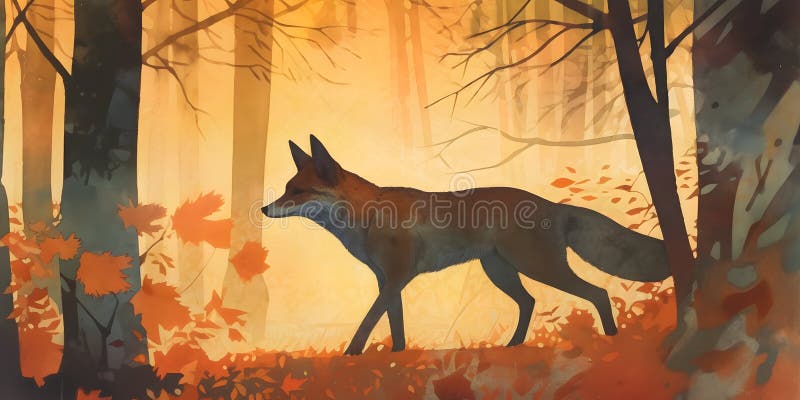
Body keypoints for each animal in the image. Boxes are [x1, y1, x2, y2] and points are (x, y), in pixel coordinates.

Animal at [262, 135, 671, 355]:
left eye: (297, 192)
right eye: (287, 189)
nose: (265, 209)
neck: (367, 216)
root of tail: (552, 205)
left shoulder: (397, 277)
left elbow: (367, 322)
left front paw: (350, 356)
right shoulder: (388, 281)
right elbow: (394, 323)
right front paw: (397, 355)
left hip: (539, 268)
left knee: (598, 292)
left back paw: (612, 341)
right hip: (502, 271)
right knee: (530, 302)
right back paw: (513, 345)